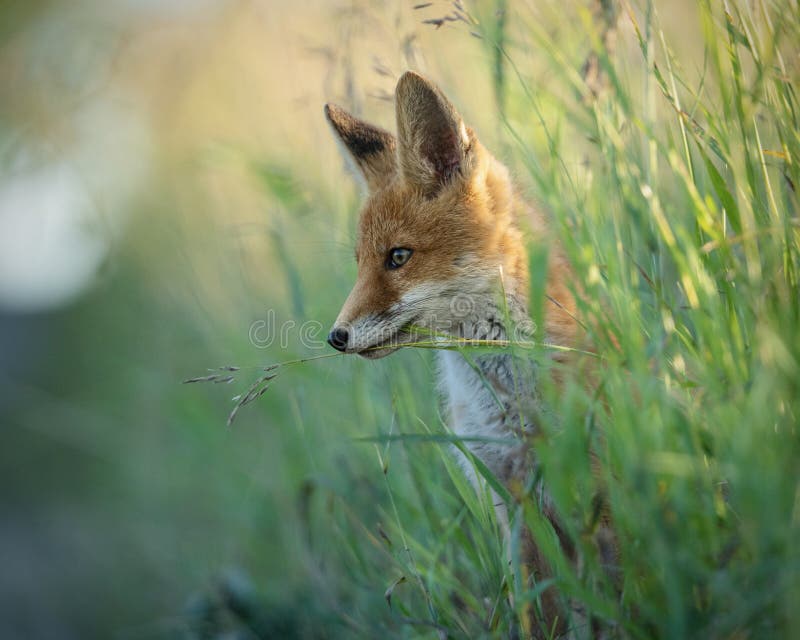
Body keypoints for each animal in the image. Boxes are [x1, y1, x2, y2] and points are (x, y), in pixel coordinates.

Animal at [324, 71, 605, 638]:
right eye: (360, 262)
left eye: (399, 257)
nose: (335, 337)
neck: (505, 405)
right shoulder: (511, 501)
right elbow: (538, 613)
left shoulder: (590, 488)